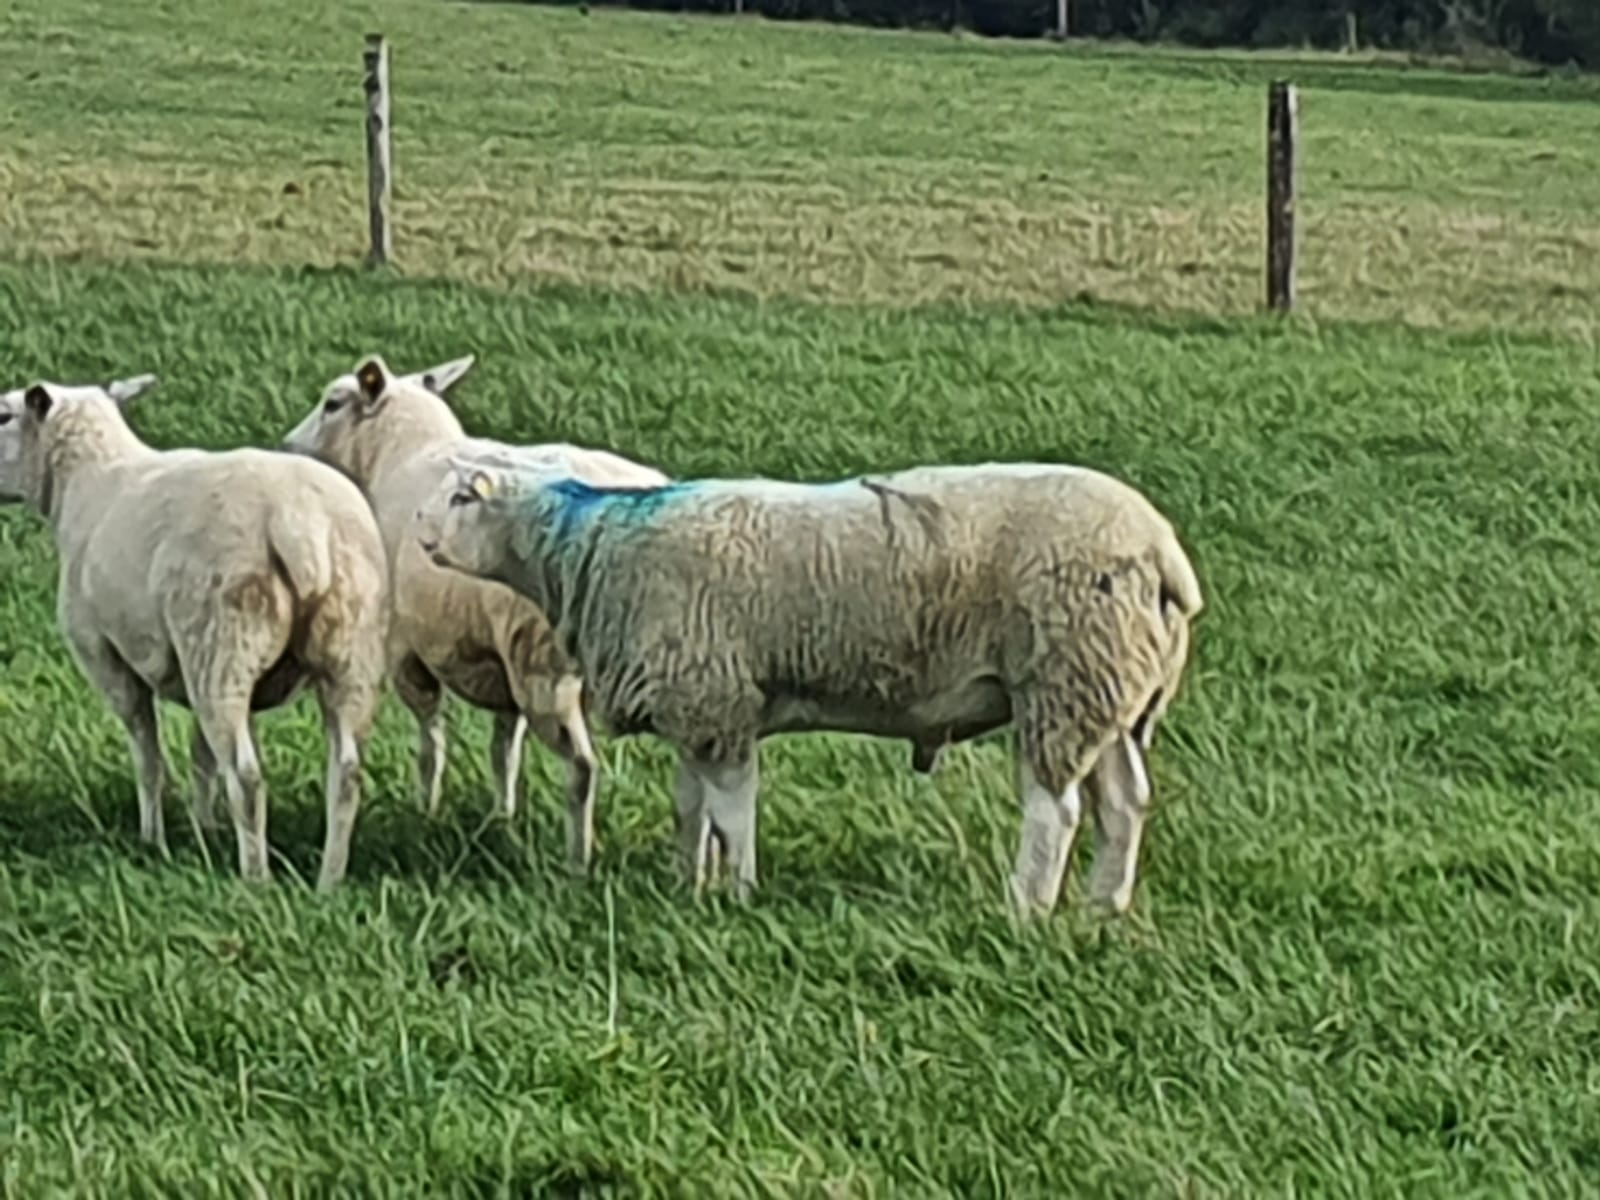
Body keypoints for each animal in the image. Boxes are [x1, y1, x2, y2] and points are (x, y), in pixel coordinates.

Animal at [0, 373, 390, 892]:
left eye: (2, 415)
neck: (87, 480)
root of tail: (300, 524)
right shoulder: (188, 675)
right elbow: (201, 755)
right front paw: (205, 830)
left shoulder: (105, 657)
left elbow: (148, 756)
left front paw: (154, 840)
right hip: (351, 649)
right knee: (345, 774)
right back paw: (329, 882)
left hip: (222, 642)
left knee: (246, 775)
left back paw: (255, 880)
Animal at [279, 353, 669, 872]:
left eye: (333, 403)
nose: (288, 446)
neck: (402, 451)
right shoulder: (501, 671)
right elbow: (504, 751)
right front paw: (502, 817)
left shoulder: (406, 650)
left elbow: (431, 743)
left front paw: (426, 811)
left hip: (543, 664)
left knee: (583, 768)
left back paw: (577, 865)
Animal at [411, 456, 1203, 919]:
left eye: (461, 497)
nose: (416, 533)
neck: (585, 547)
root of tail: (1164, 551)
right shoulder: (694, 704)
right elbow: (689, 807)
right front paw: (686, 882)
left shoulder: (719, 698)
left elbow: (732, 810)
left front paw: (737, 892)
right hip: (1112, 690)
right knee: (1125, 802)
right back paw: (1105, 909)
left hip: (1064, 676)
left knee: (1056, 810)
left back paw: (1026, 908)